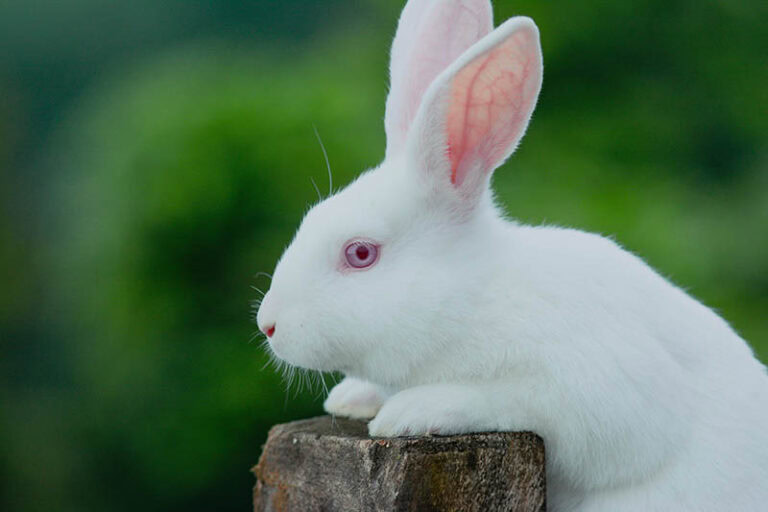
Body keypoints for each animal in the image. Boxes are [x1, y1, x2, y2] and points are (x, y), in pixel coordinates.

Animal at [255, 0, 768, 510]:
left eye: (360, 253)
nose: (268, 325)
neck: (473, 299)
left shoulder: (595, 390)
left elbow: (505, 401)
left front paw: (410, 412)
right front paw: (351, 398)